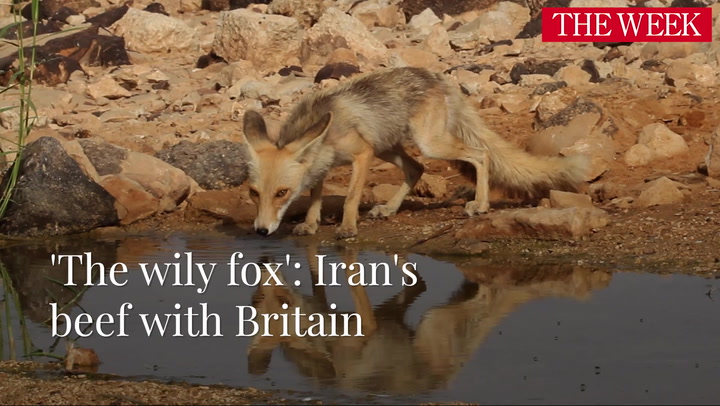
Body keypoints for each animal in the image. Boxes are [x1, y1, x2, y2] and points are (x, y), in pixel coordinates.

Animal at [240, 66, 589, 239]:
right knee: (416, 170)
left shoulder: (362, 153)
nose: (261, 230)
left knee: (480, 154)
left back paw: (480, 204)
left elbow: (351, 197)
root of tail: (439, 77)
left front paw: (348, 228)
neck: (325, 128)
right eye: (254, 193)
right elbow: (314, 196)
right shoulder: (322, 165)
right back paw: (389, 209)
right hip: (389, 147)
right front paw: (311, 224)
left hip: (426, 144)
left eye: (282, 193)